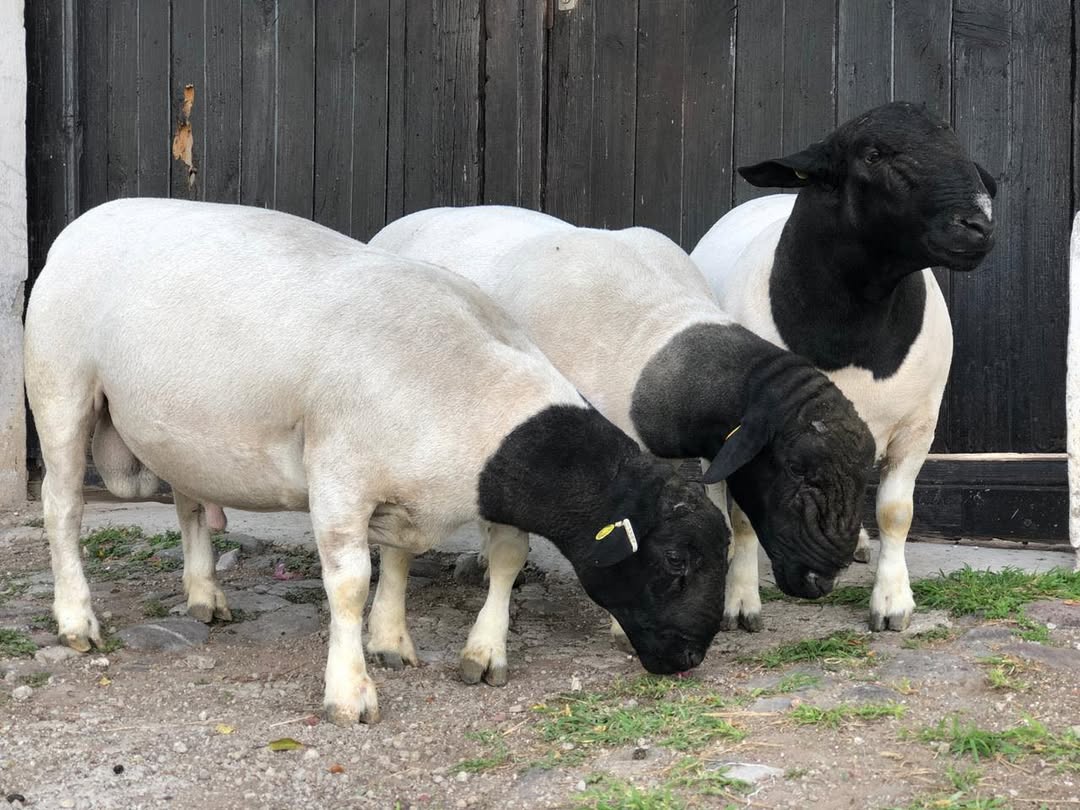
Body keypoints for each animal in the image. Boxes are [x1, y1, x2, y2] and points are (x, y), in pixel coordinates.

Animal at [23, 198, 733, 724]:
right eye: (676, 562)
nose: (690, 657)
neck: (465, 385)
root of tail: (89, 219)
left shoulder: (412, 486)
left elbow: (432, 560)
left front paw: (419, 645)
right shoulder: (339, 476)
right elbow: (351, 584)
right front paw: (350, 692)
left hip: (179, 432)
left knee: (188, 500)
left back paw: (205, 596)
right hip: (61, 388)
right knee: (62, 508)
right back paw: (77, 620)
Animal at [691, 101, 997, 631]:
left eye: (959, 149)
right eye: (872, 155)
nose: (977, 227)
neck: (853, 331)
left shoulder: (918, 425)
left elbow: (896, 511)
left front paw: (892, 603)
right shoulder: (753, 428)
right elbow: (746, 514)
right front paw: (741, 601)